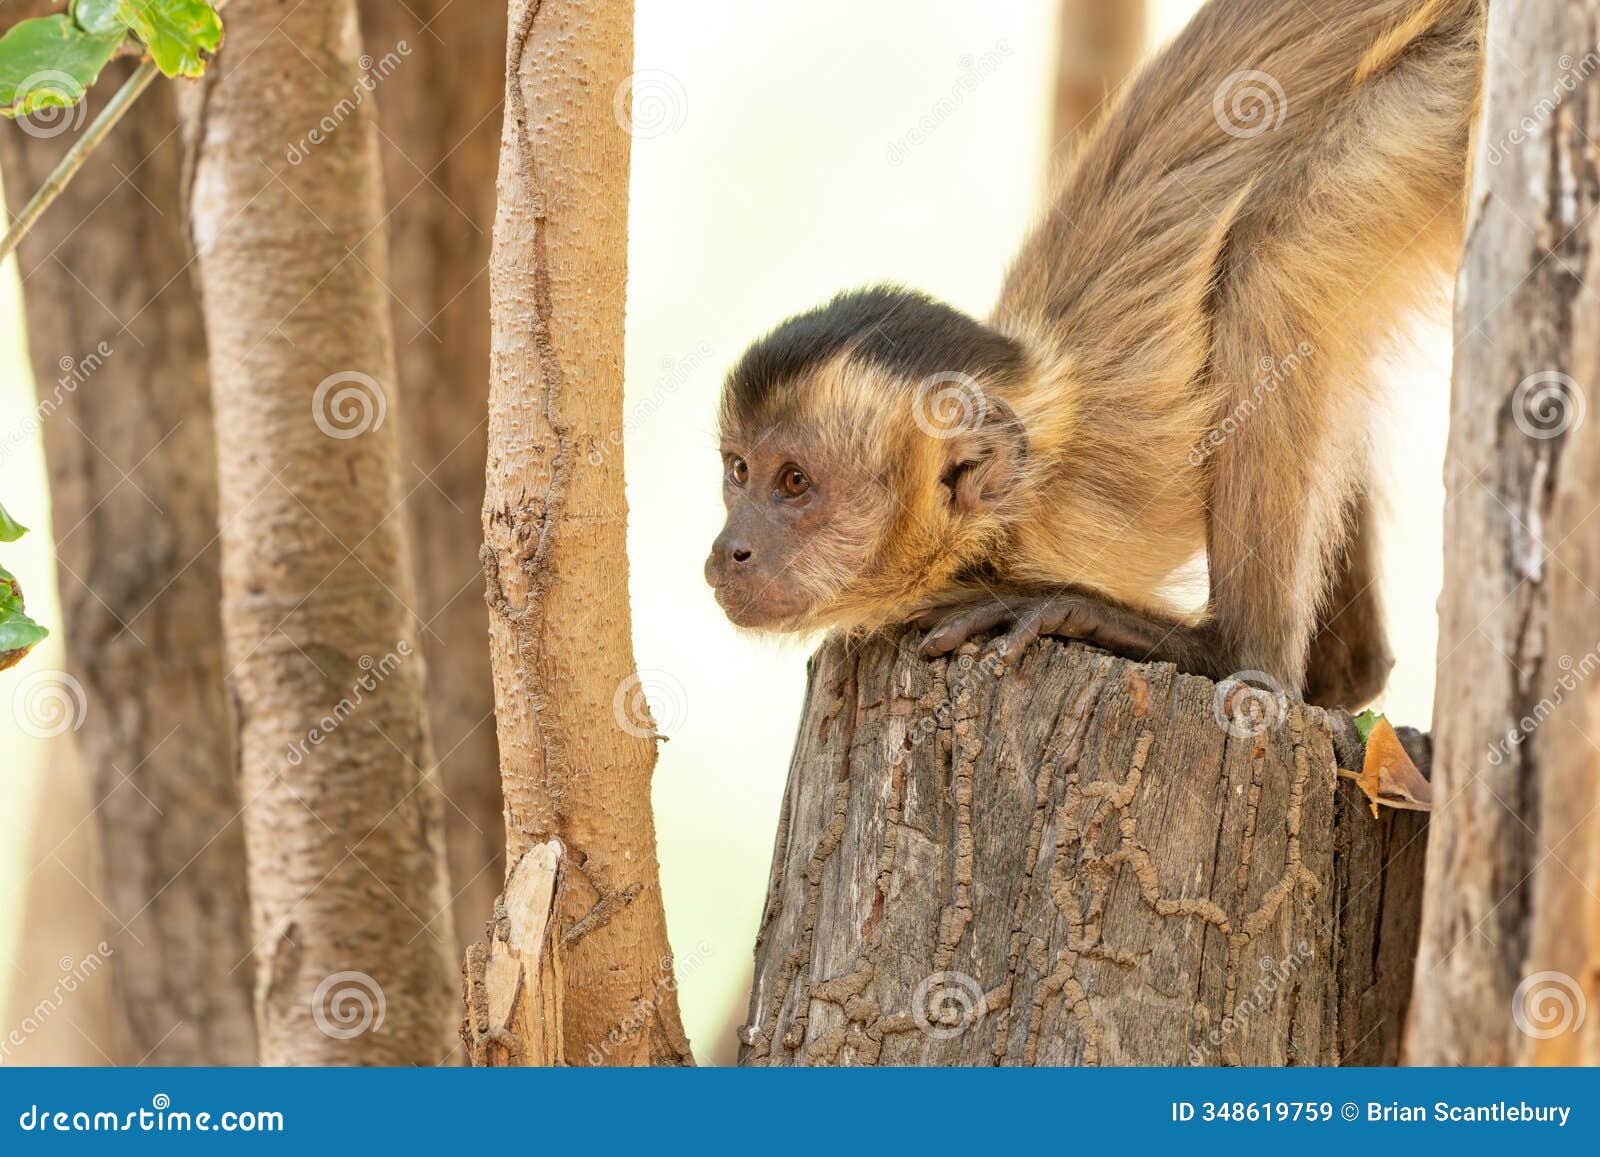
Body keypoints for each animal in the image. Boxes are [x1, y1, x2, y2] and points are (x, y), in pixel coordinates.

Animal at [704, 0, 1483, 707]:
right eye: (738, 472)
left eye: (794, 483)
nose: (727, 549)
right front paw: (1347, 677)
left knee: (1274, 256)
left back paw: (1230, 651)